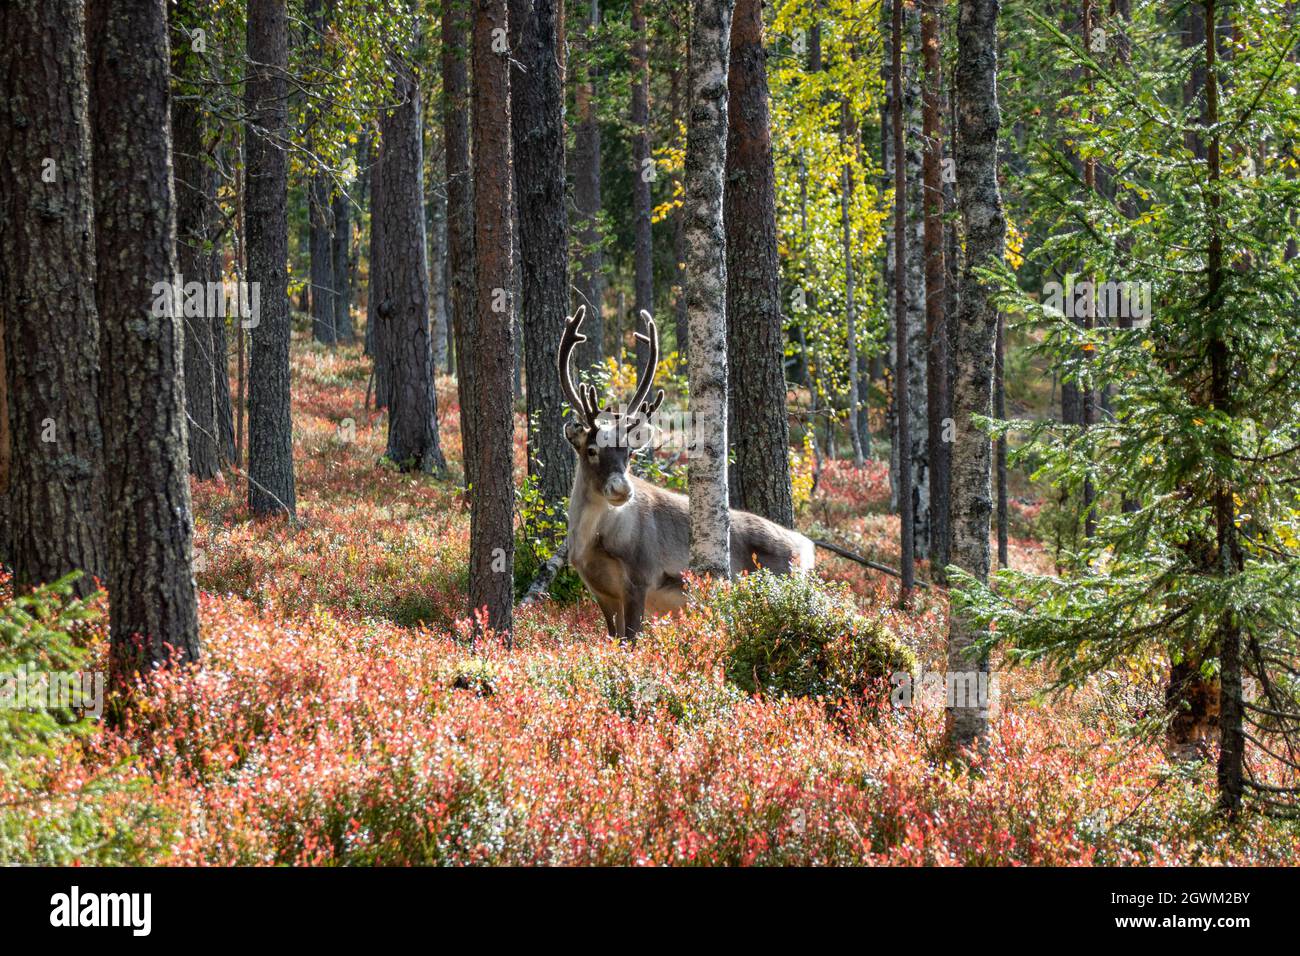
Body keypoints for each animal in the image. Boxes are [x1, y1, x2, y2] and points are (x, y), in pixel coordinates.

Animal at [558, 305, 816, 641]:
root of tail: (807, 548)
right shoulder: (600, 591)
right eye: (591, 449)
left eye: (629, 453)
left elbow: (633, 641)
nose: (621, 489)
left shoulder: (640, 579)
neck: (591, 539)